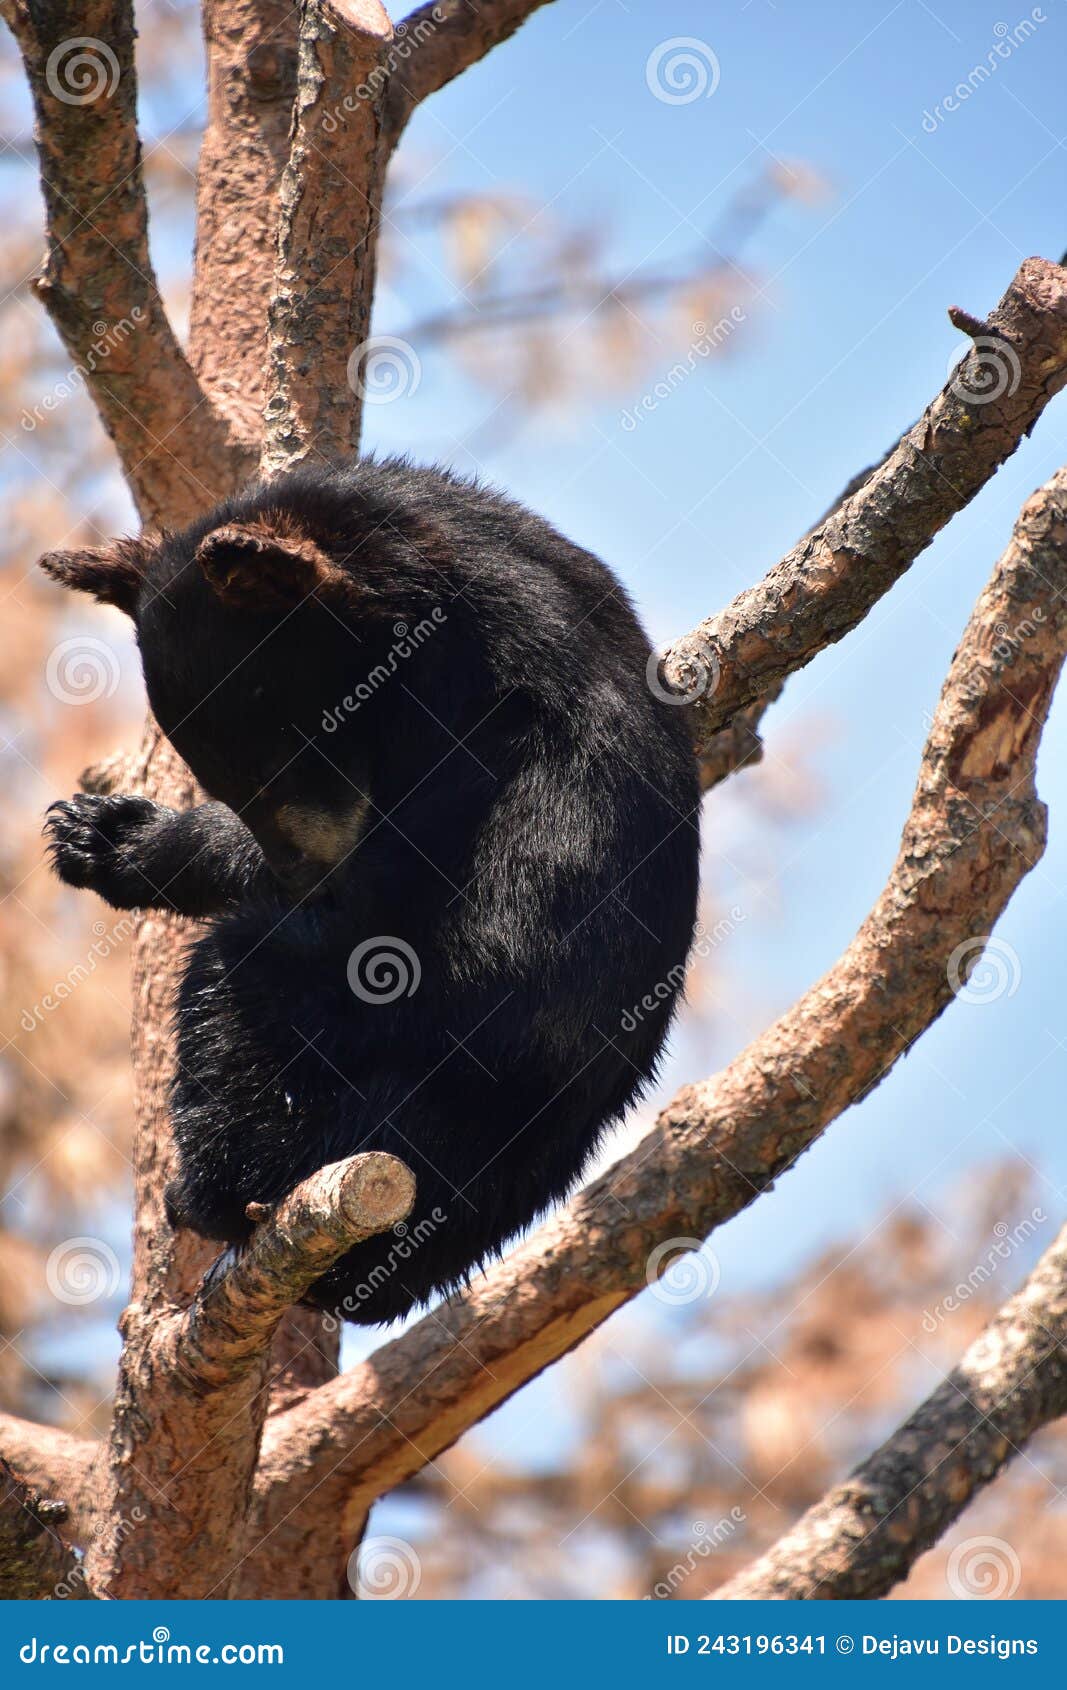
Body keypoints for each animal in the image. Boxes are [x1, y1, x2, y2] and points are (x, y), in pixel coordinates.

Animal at [41, 459, 701, 1325]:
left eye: (284, 756)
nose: (298, 875)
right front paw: (97, 834)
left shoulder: (468, 731)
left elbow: (388, 889)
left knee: (240, 982)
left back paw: (209, 1192)